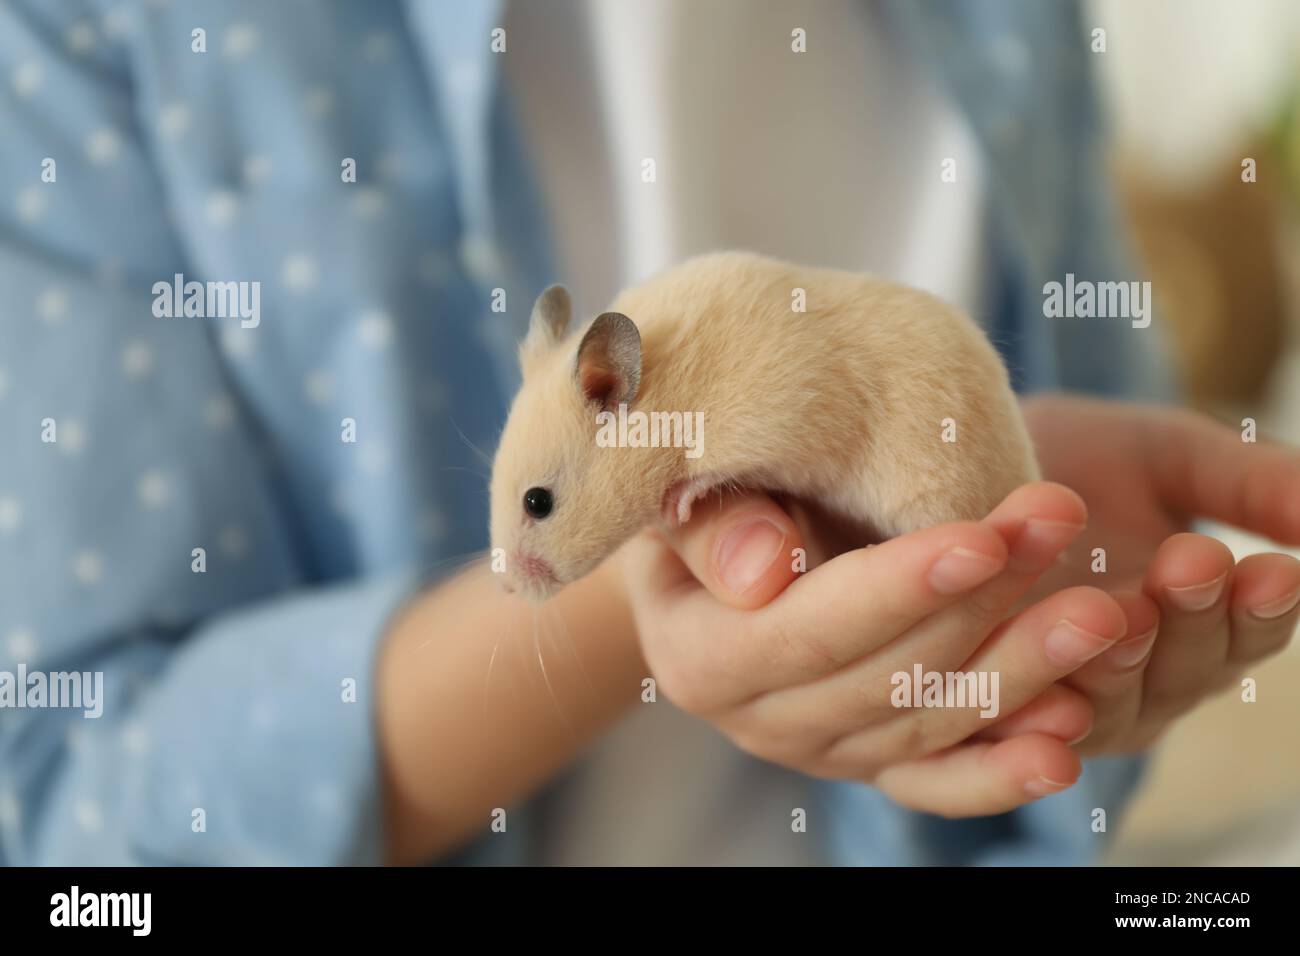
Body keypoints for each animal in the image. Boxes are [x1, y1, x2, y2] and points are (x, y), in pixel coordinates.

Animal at [490, 251, 1039, 600]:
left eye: (538, 502)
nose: (509, 589)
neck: (669, 394)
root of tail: (1026, 473)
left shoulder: (774, 417)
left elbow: (717, 471)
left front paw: (677, 505)